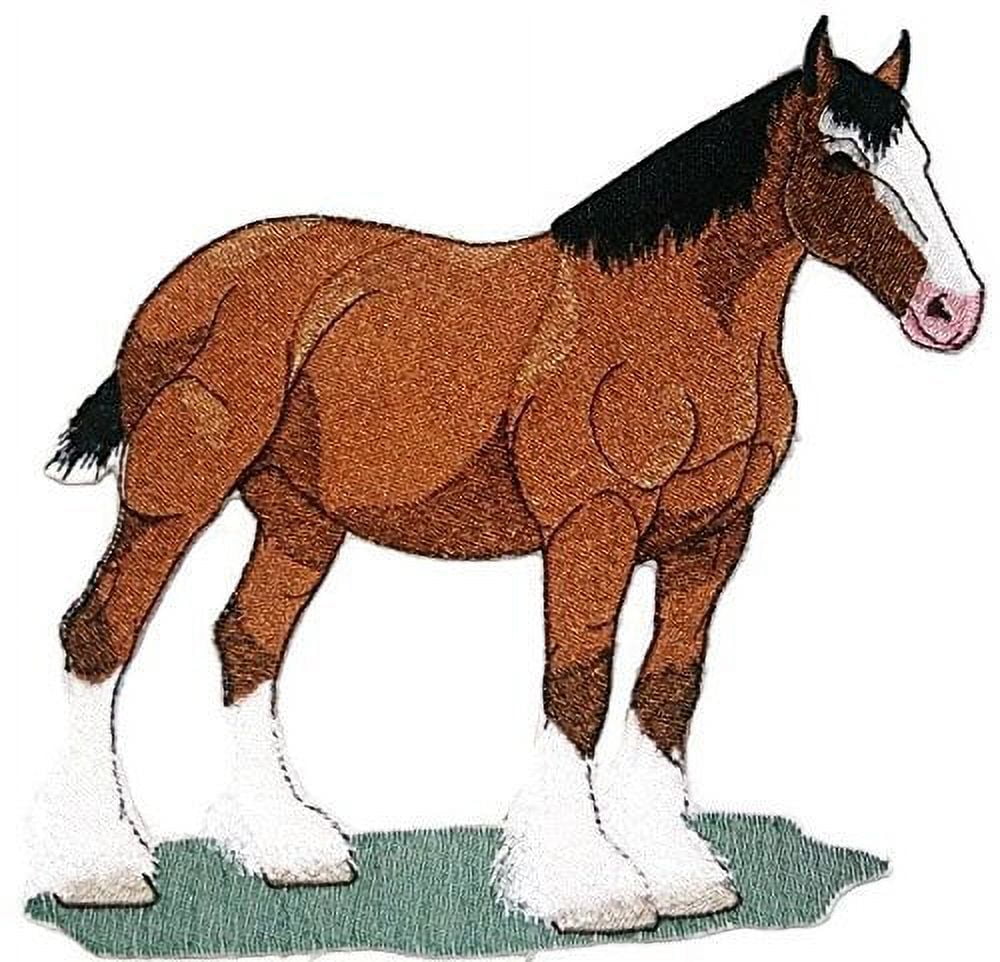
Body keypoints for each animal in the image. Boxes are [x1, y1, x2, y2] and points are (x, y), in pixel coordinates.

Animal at [33, 17, 982, 933]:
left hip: (300, 518)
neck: (669, 322)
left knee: (248, 640)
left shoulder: (713, 538)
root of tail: (189, 282)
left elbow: (669, 688)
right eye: (841, 158)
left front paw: (677, 872)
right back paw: (99, 868)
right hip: (175, 495)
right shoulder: (594, 527)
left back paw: (287, 848)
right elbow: (580, 685)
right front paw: (589, 886)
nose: (953, 309)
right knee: (101, 633)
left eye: (924, 159)